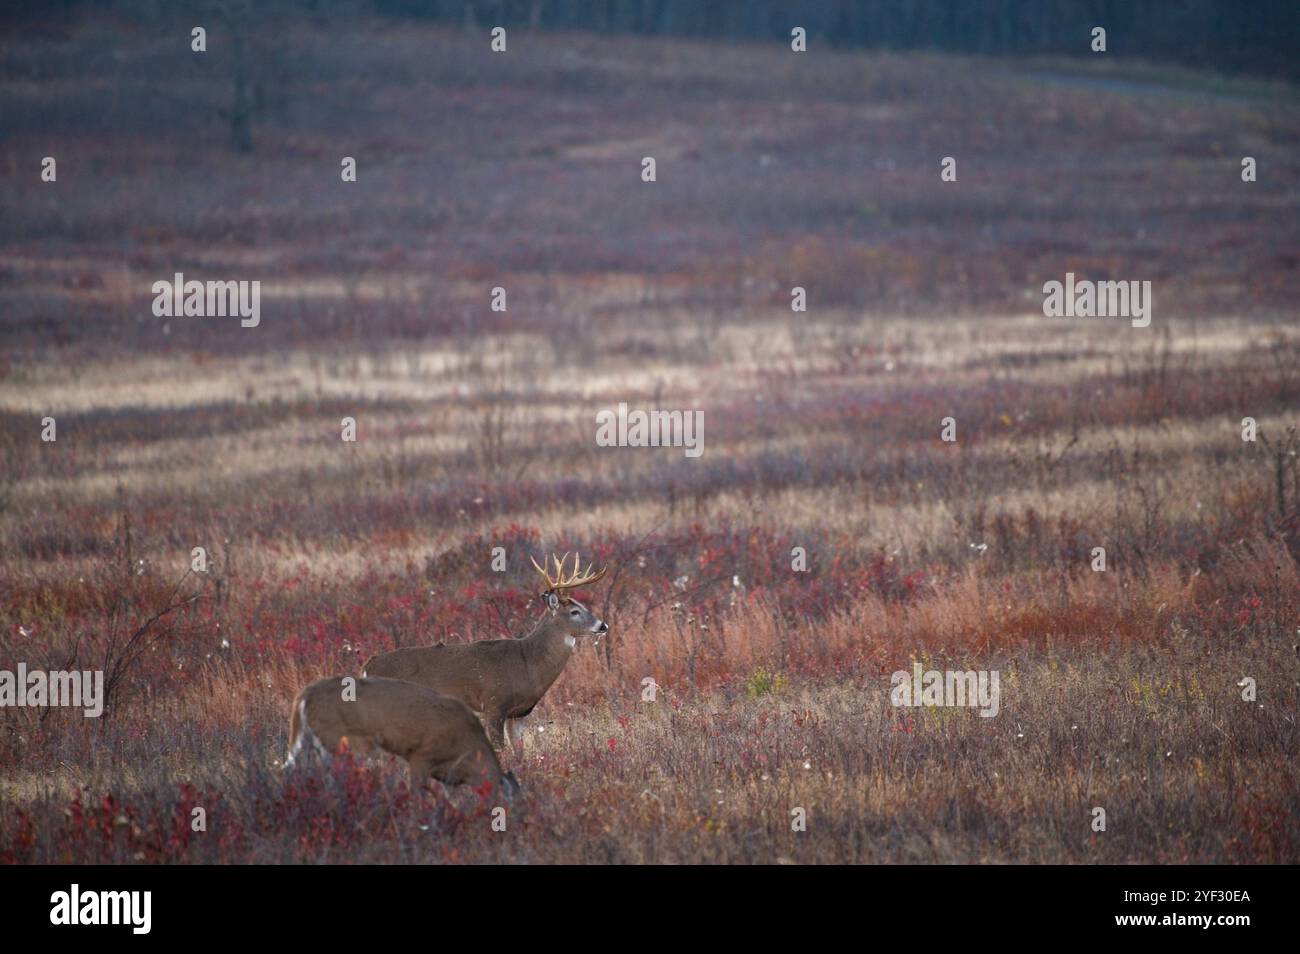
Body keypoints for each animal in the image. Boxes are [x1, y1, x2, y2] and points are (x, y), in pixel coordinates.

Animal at [362, 552, 608, 757]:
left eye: (584, 605)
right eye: (574, 612)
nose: (603, 625)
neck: (527, 663)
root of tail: (367, 666)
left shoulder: (518, 713)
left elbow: (519, 752)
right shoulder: (493, 703)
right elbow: (500, 750)